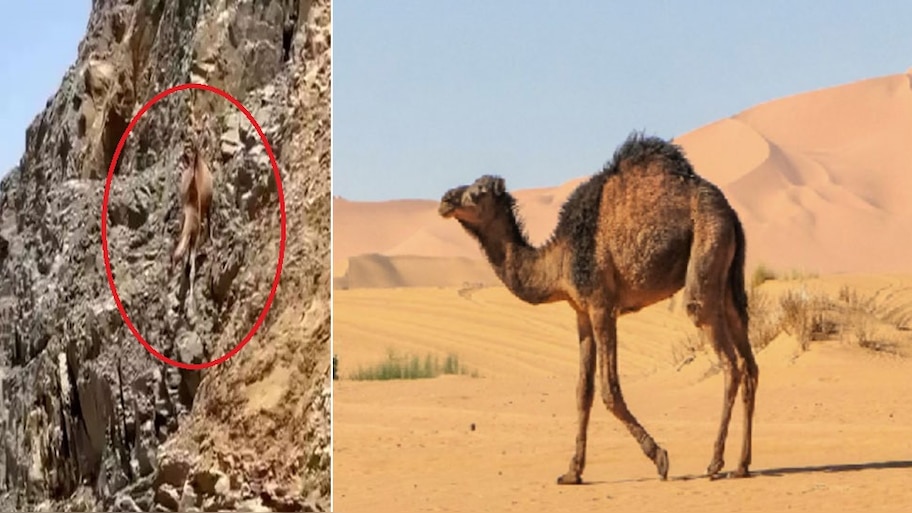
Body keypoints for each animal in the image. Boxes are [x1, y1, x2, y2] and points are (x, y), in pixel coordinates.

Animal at [438, 132, 758, 484]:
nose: (446, 199)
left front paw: (659, 458)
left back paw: (715, 463)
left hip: (706, 242)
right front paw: (571, 472)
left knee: (727, 358)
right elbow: (583, 392)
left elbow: (609, 390)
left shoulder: (601, 305)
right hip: (727, 275)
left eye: (477, 192)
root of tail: (730, 212)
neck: (560, 259)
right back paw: (741, 465)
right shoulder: (581, 312)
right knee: (749, 362)